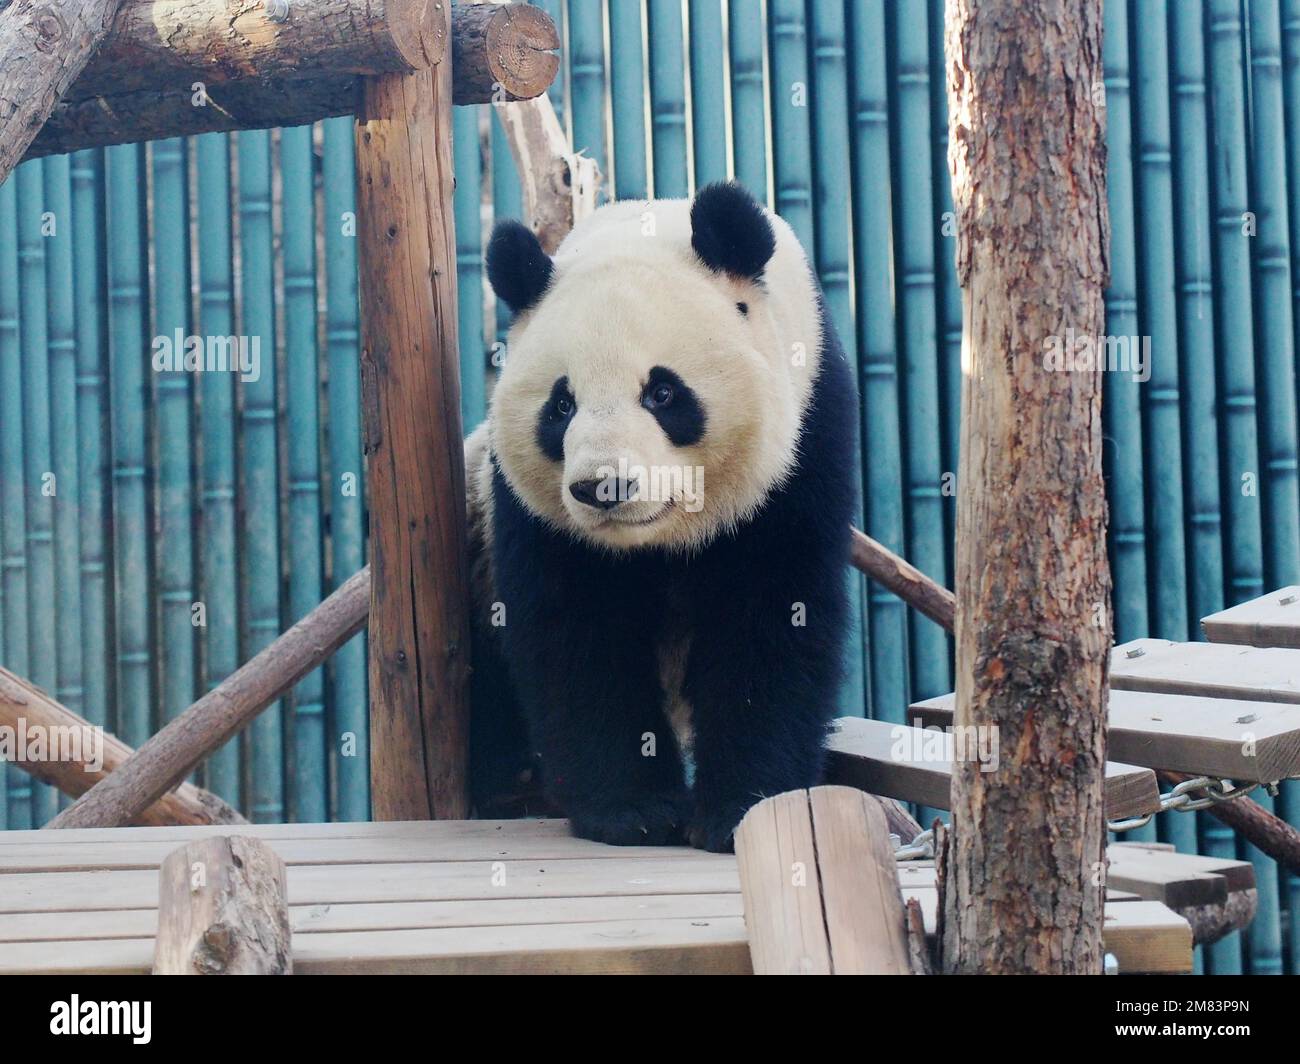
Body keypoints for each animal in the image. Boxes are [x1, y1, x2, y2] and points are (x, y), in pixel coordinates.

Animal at [464, 181, 857, 853]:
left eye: (663, 393)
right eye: (561, 406)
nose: (602, 488)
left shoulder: (805, 439)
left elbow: (773, 619)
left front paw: (739, 808)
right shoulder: (531, 512)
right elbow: (577, 634)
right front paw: (635, 810)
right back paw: (506, 781)